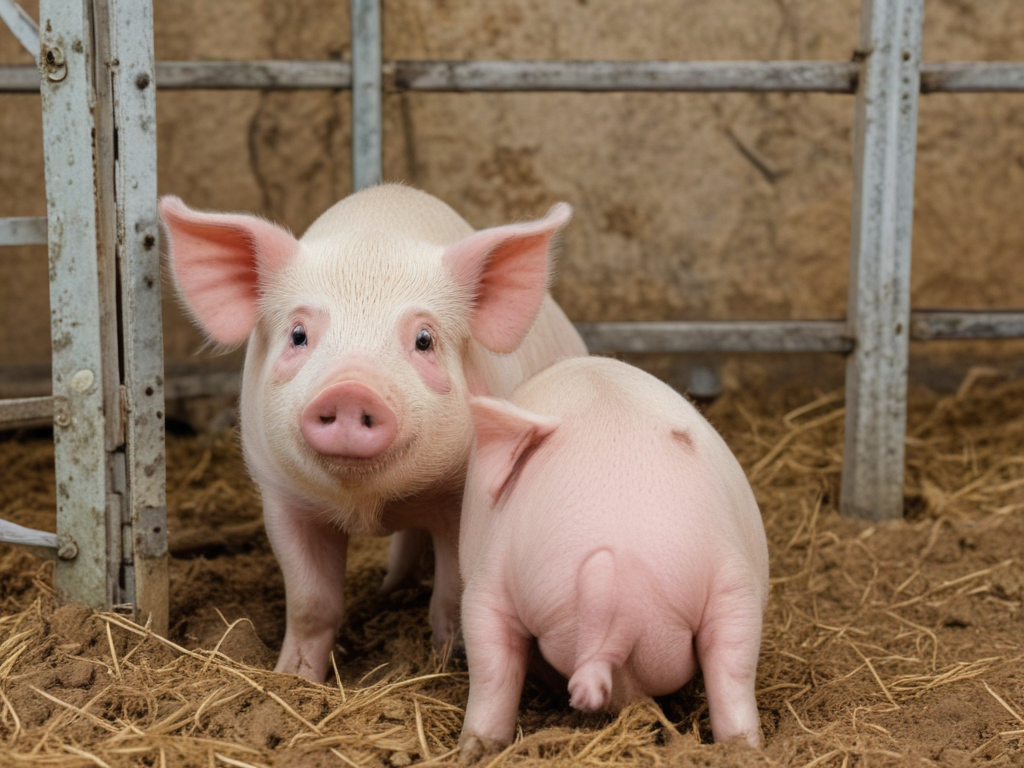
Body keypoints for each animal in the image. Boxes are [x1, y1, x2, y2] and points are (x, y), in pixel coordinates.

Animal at [159, 184, 587, 682]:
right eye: (298, 334)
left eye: (424, 340)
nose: (350, 390)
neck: (368, 505)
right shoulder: (281, 498)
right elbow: (311, 602)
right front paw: (295, 677)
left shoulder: (459, 498)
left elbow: (450, 596)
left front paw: (441, 664)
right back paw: (388, 589)